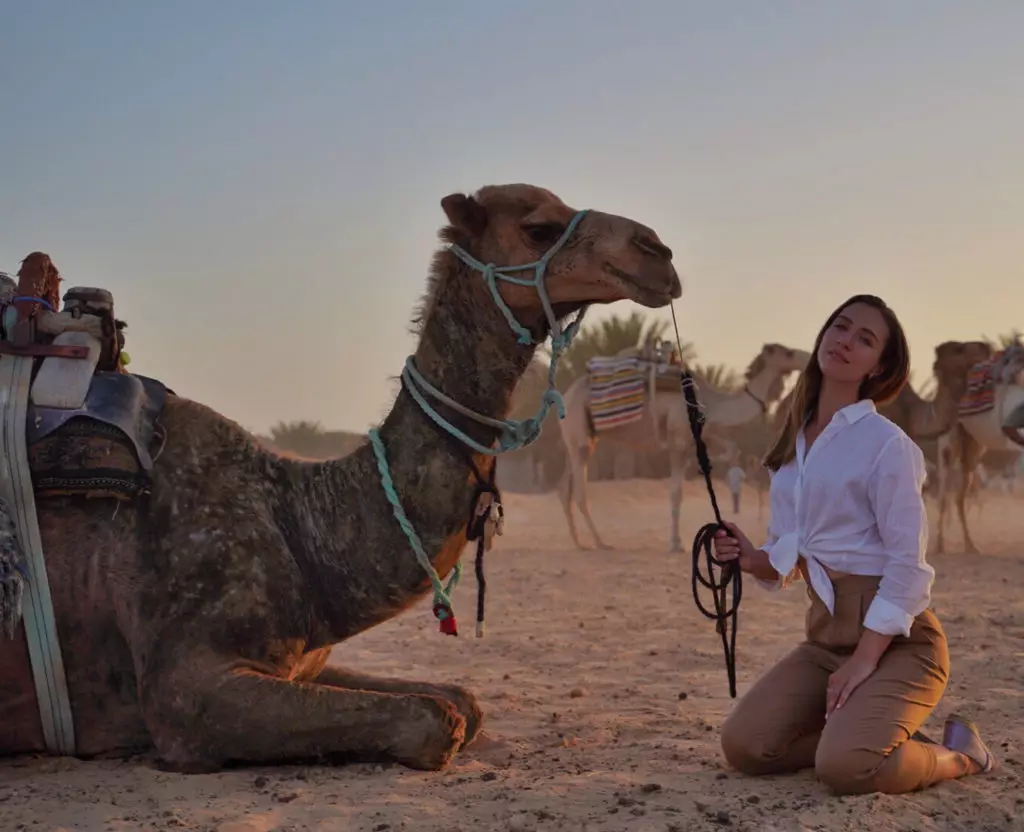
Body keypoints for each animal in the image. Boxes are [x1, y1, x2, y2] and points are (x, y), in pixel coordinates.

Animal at [2, 183, 688, 774]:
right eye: (539, 226)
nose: (659, 252)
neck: (298, 525)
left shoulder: (300, 662)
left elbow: (463, 699)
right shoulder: (184, 694)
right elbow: (436, 720)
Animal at [557, 342, 811, 549]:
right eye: (788, 353)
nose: (807, 355)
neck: (711, 402)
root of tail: (565, 395)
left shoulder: (699, 435)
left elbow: (731, 449)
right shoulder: (678, 440)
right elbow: (676, 492)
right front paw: (675, 542)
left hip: (576, 440)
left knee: (565, 489)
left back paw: (578, 542)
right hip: (580, 433)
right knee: (579, 492)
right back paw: (600, 542)